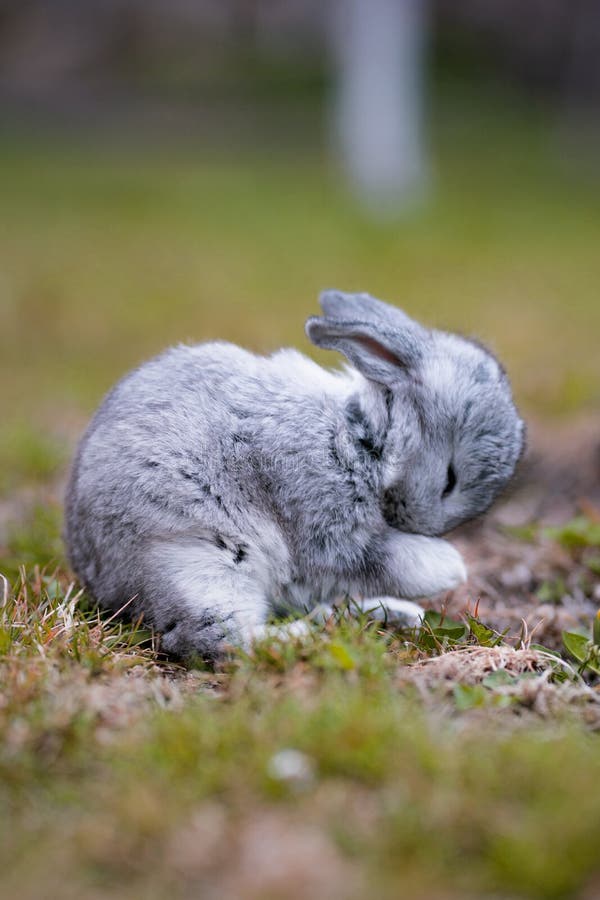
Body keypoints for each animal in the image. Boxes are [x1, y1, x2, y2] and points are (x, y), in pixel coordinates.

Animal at [64, 290, 525, 661]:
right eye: (449, 479)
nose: (422, 526)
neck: (360, 432)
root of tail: (103, 586)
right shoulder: (326, 523)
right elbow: (385, 558)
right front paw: (452, 566)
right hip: (201, 565)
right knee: (214, 639)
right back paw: (310, 633)